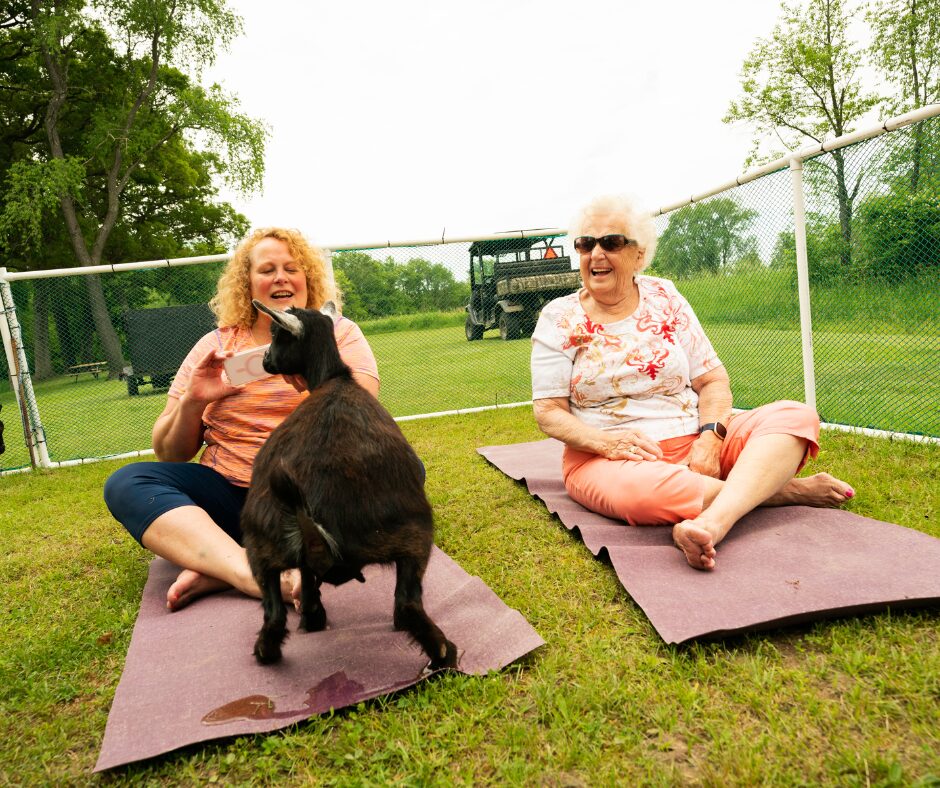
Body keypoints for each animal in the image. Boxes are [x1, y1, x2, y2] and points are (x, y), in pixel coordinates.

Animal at [241, 298, 458, 668]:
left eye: (276, 334)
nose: (266, 360)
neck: (335, 378)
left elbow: (307, 577)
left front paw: (313, 617)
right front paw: (313, 617)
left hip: (261, 546)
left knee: (275, 611)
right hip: (412, 532)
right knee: (407, 603)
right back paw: (443, 654)